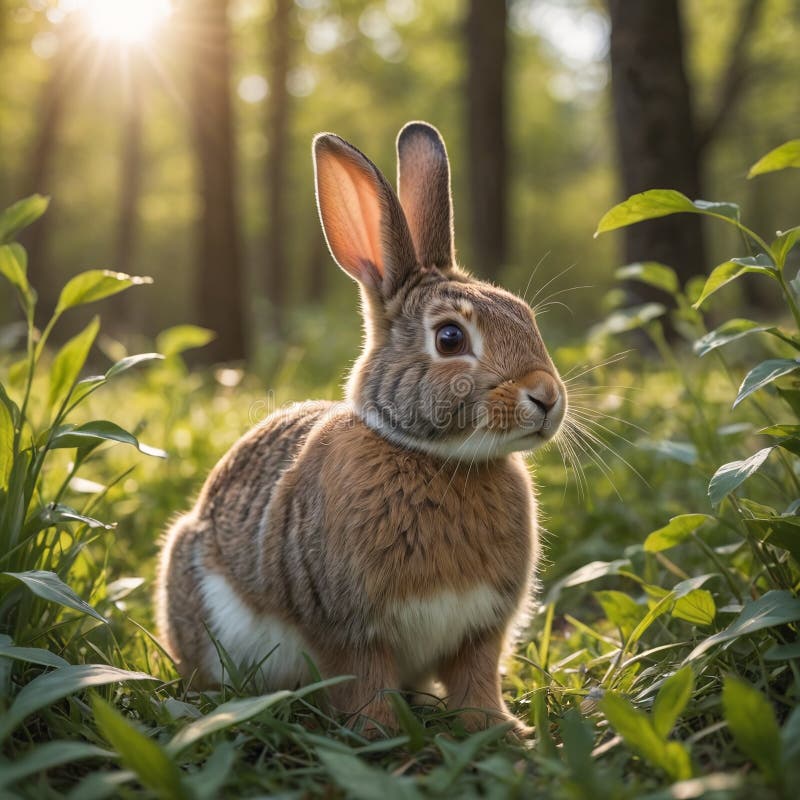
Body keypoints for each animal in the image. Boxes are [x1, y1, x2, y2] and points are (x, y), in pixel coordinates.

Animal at [156, 121, 567, 733]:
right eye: (450, 338)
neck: (434, 457)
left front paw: (499, 730)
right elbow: (366, 681)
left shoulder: (480, 628)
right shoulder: (349, 629)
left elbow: (476, 679)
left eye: (526, 316)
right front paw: (380, 733)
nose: (547, 397)